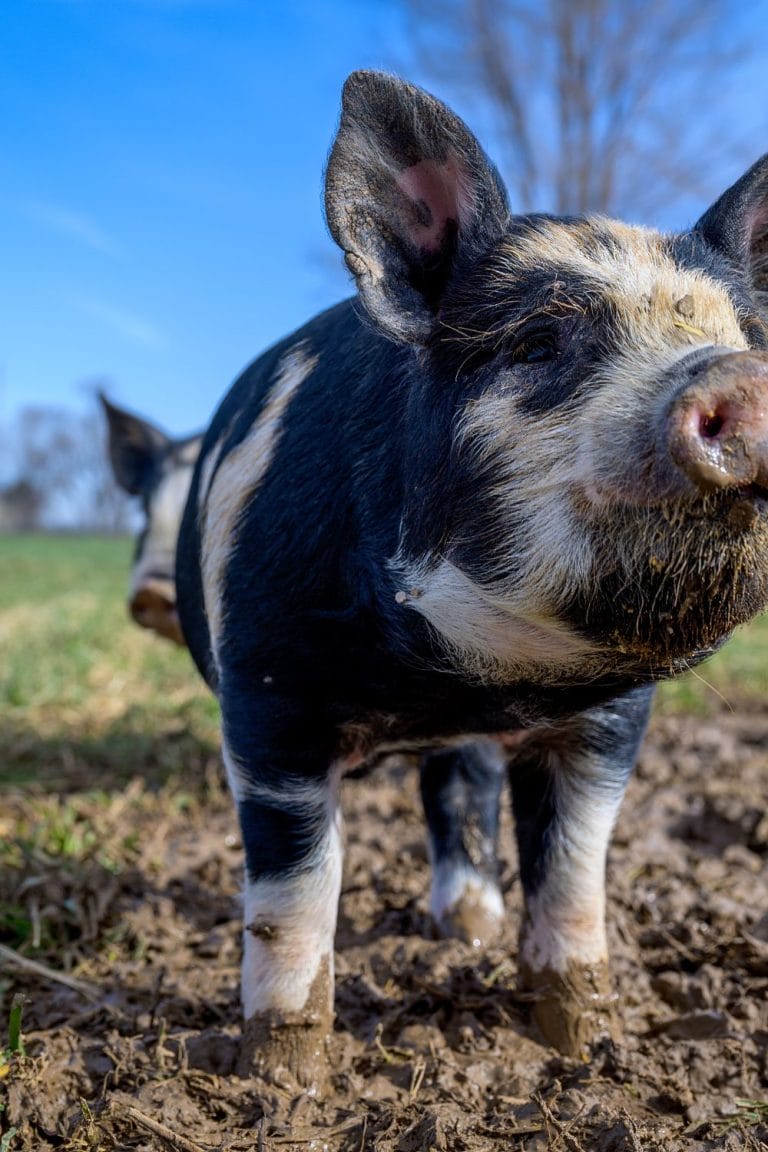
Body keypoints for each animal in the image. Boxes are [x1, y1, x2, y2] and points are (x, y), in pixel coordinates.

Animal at [176, 71, 768, 1084]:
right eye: (538, 342)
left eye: (745, 334)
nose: (742, 375)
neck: (464, 674)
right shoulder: (265, 688)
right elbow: (294, 892)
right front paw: (284, 1080)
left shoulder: (608, 722)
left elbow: (572, 876)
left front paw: (580, 1042)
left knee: (459, 787)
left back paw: (473, 926)